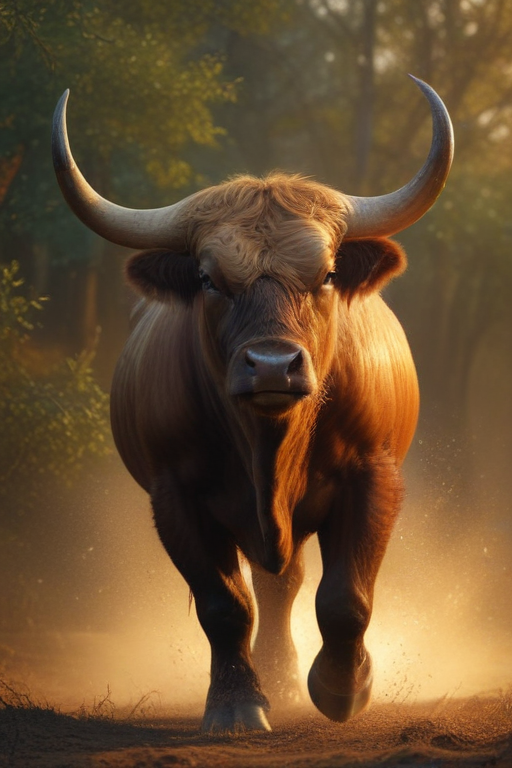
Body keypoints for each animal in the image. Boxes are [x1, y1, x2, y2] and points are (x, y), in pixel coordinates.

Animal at [52, 76, 453, 734]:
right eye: (209, 279)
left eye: (326, 274)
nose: (271, 365)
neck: (270, 446)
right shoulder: (175, 497)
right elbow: (224, 606)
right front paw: (238, 703)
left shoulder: (374, 476)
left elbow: (345, 597)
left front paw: (342, 687)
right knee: (271, 586)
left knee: (288, 584)